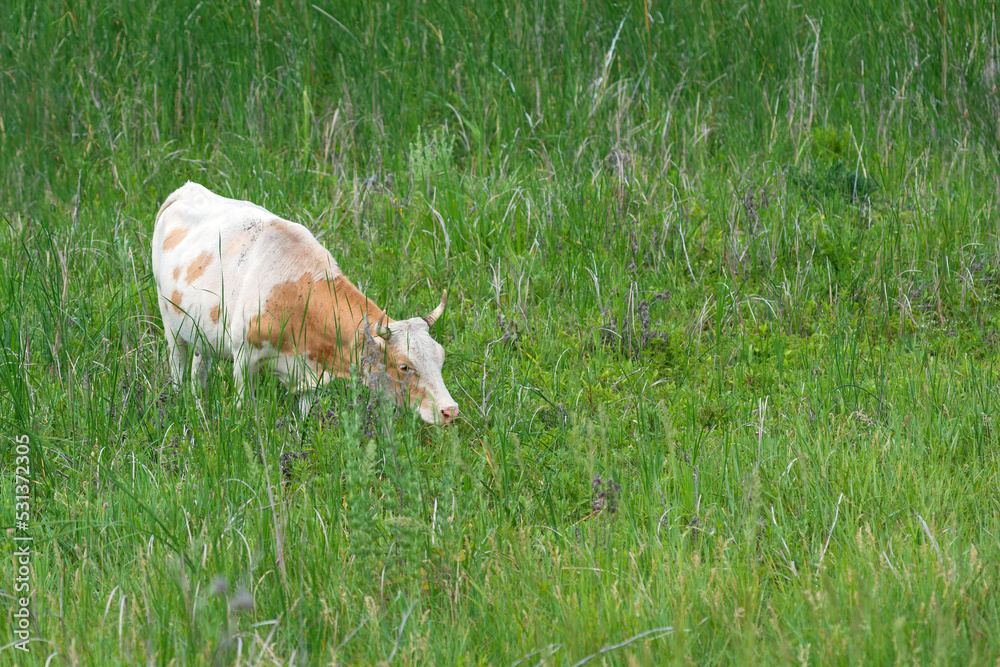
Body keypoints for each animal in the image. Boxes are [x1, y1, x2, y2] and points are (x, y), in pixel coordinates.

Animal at [150, 182, 459, 425]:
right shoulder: (243, 361)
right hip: (169, 323)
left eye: (441, 356)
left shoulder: (310, 378)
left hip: (202, 331)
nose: (450, 410)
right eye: (405, 366)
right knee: (177, 365)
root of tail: (186, 189)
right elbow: (243, 410)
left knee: (199, 368)